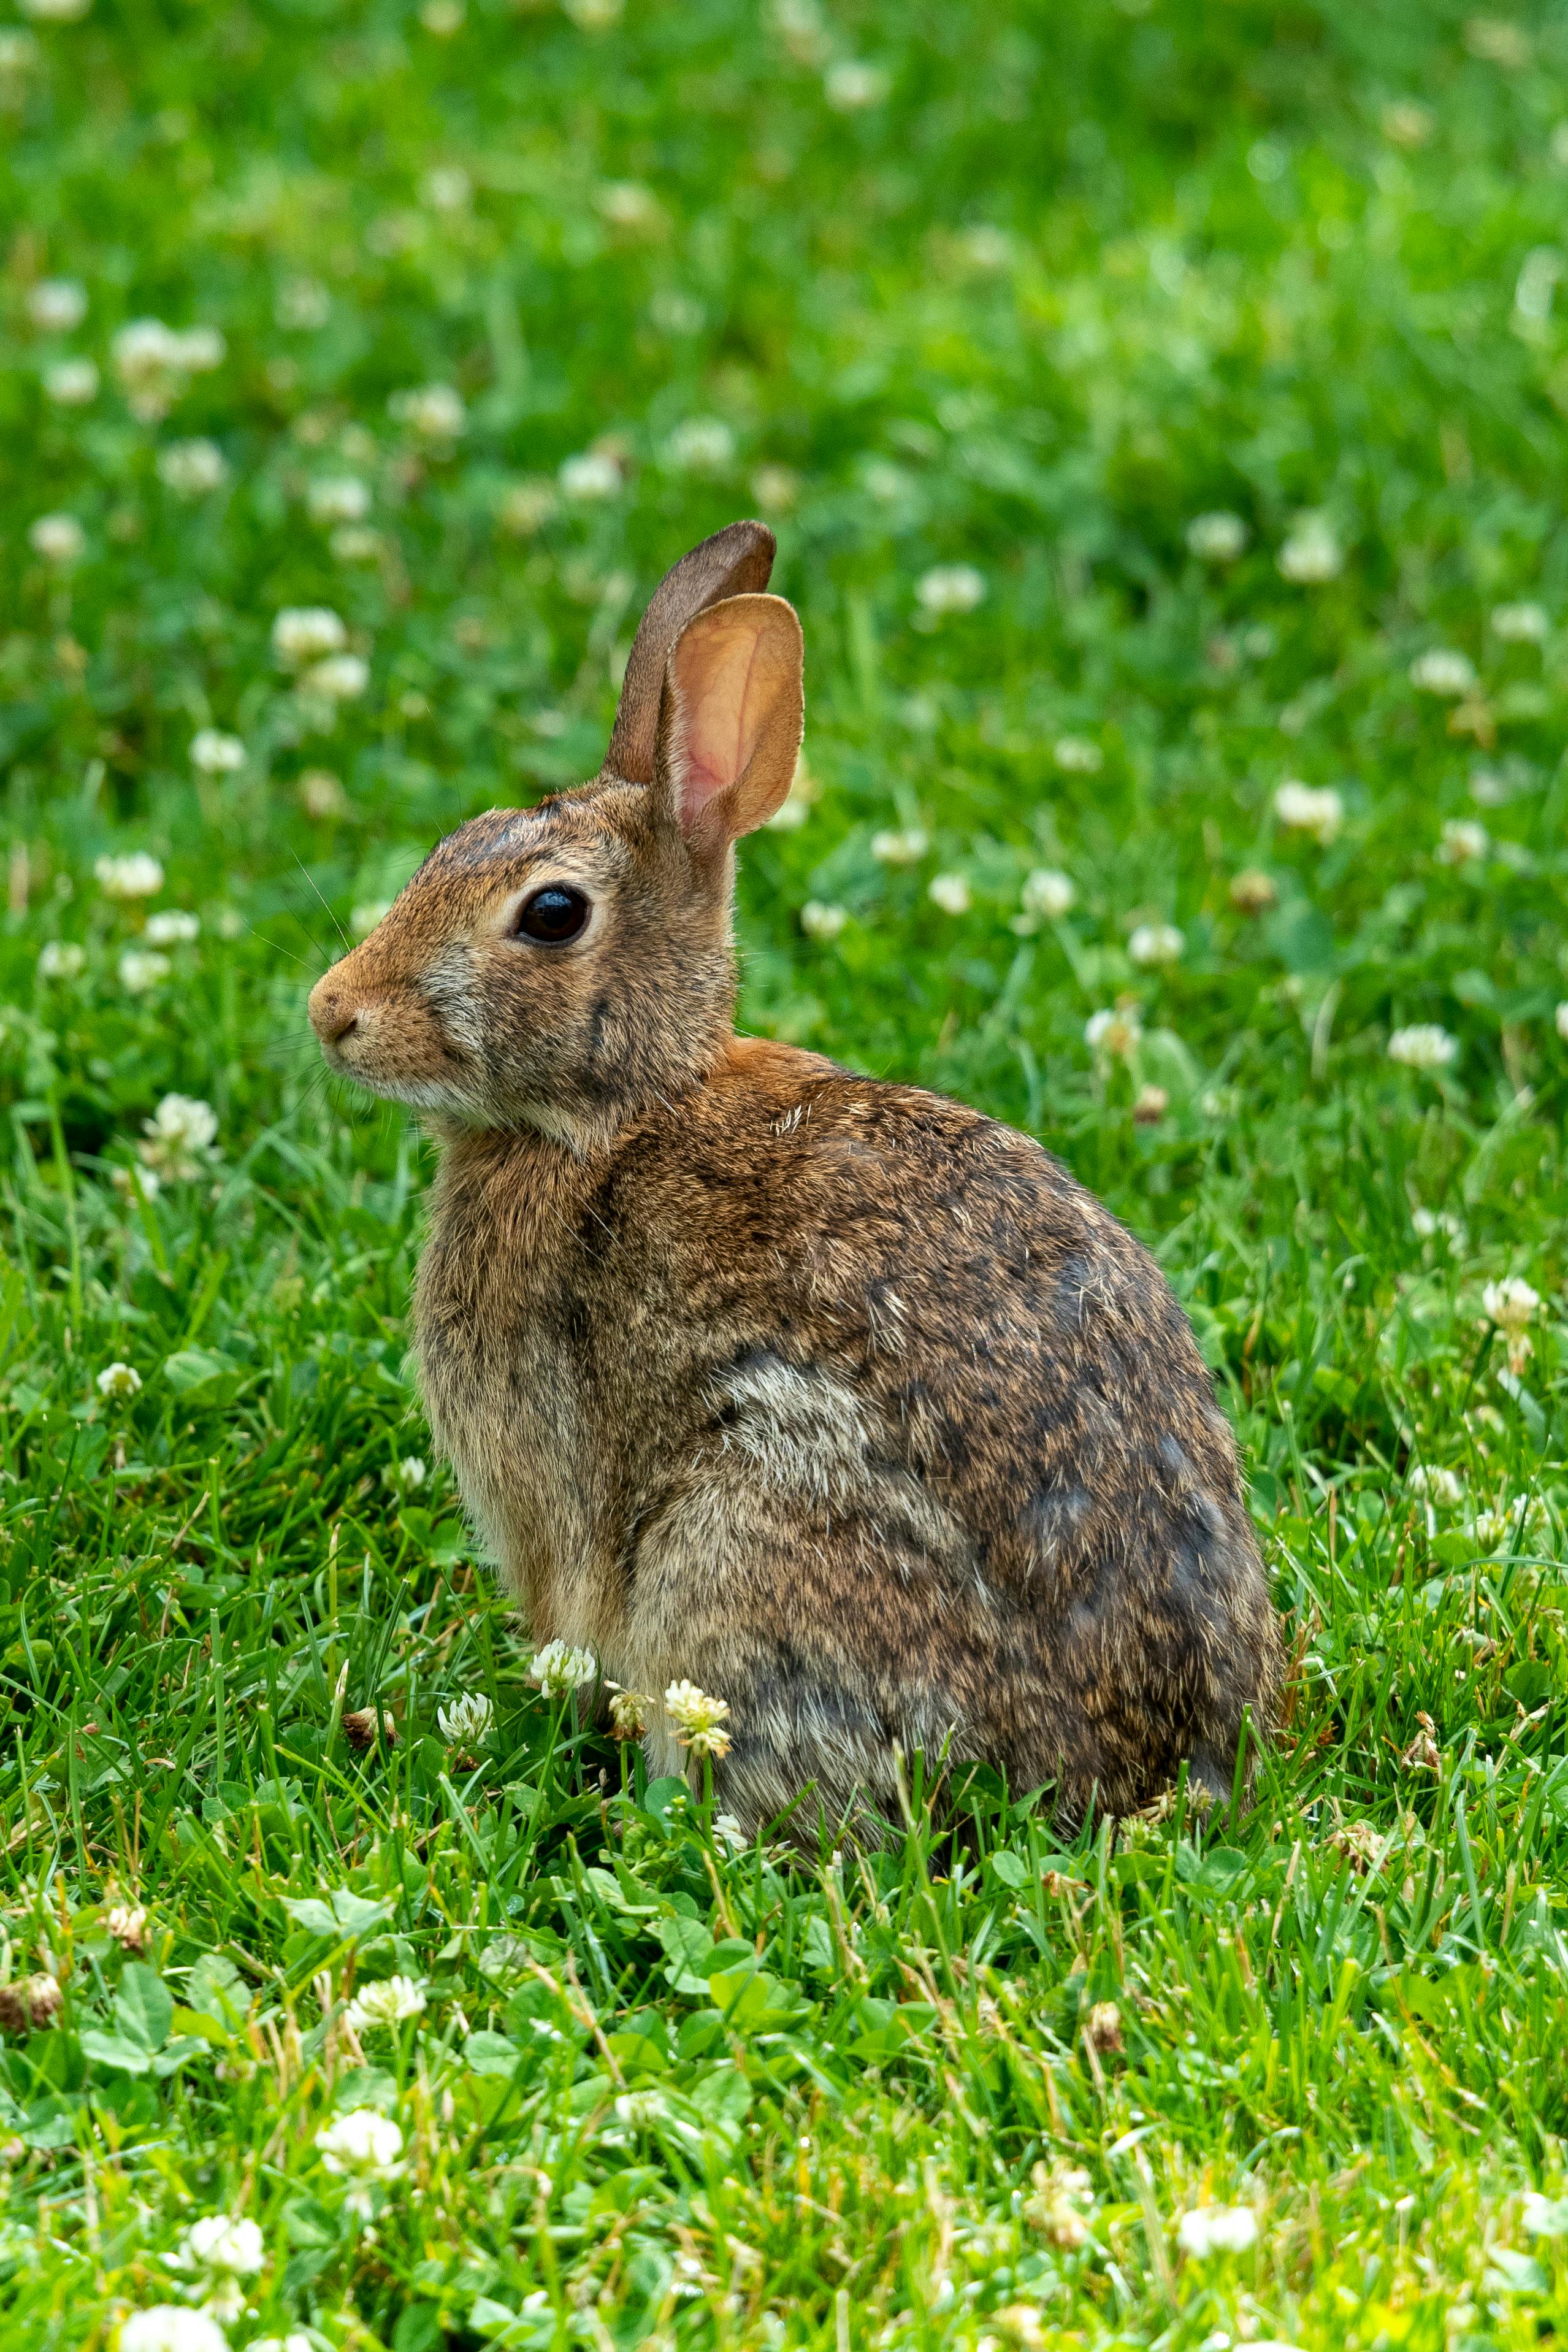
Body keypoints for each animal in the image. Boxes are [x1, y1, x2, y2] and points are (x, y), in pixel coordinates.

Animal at [308, 519, 1282, 1838]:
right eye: (446, 846)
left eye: (551, 914)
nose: (333, 1012)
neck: (614, 1117)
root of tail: (1134, 1773)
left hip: (743, 1539)